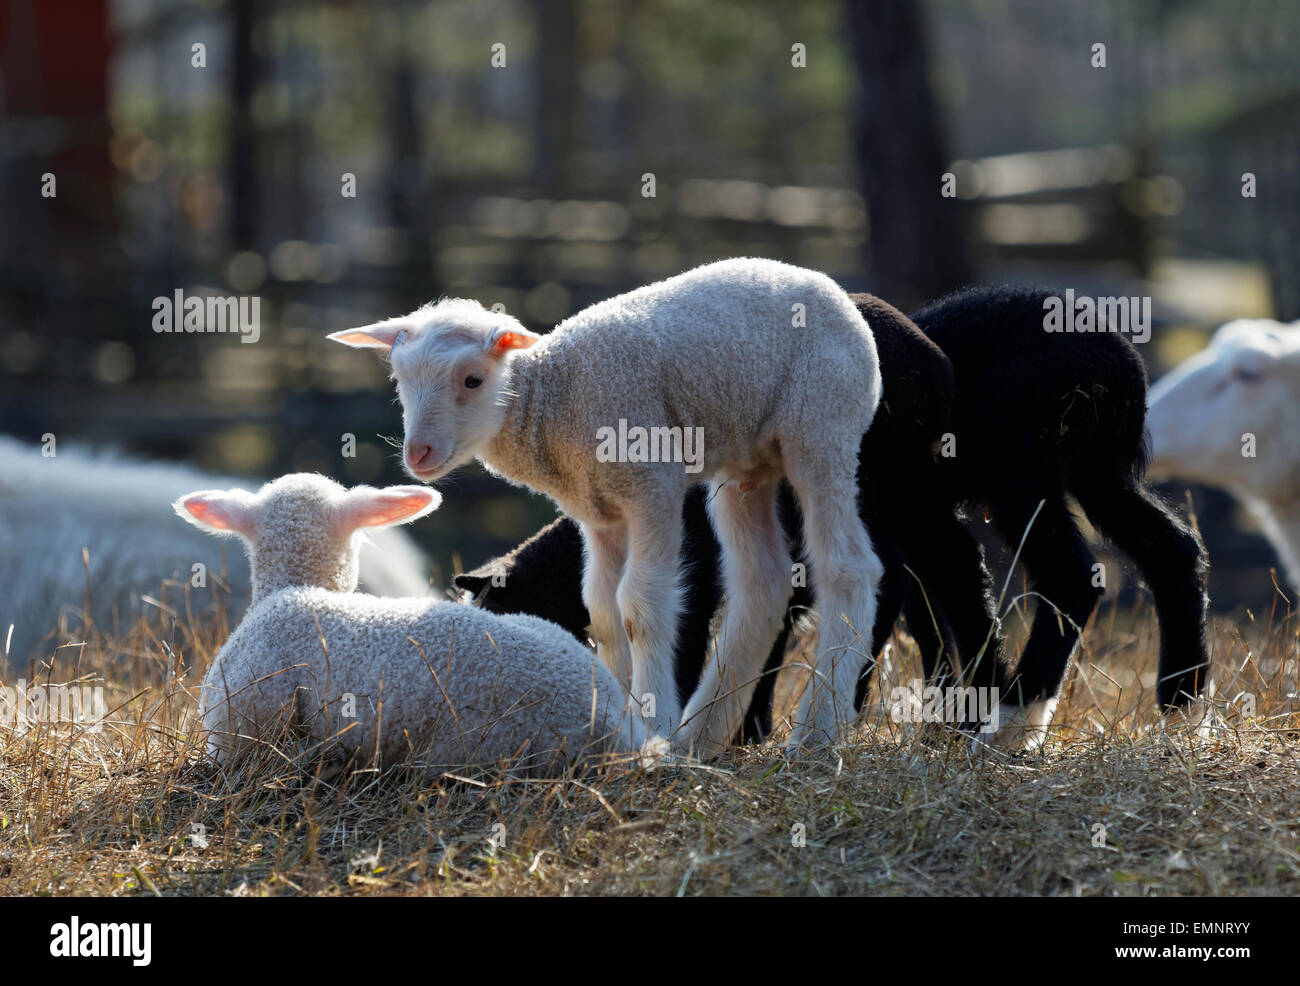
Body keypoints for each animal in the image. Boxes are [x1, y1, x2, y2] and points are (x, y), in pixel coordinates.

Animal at [329, 257, 886, 753]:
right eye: (400, 380)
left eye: (472, 380)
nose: (417, 454)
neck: (551, 401)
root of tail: (828, 287)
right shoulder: (596, 512)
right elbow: (601, 611)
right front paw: (619, 714)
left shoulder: (651, 488)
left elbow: (639, 607)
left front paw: (653, 718)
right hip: (746, 465)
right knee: (763, 582)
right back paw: (702, 736)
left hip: (822, 425)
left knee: (847, 568)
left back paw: (815, 733)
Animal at [452, 285, 1213, 752]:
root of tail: (1116, 357)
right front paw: (757, 730)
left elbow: (708, 639)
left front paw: (749, 731)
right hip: (1090, 473)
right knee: (1168, 550)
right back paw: (1180, 706)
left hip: (1021, 469)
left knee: (1069, 574)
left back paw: (1016, 719)